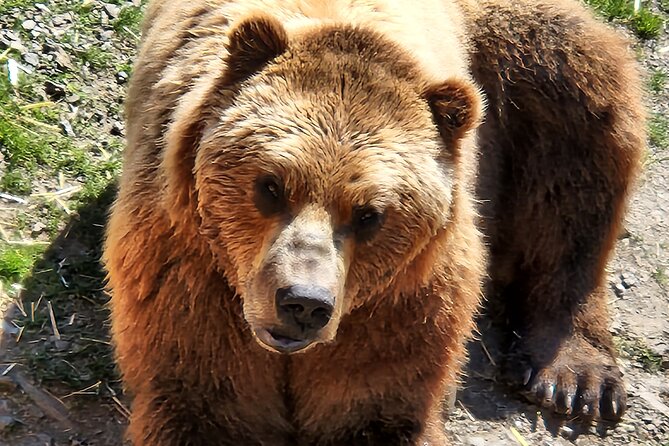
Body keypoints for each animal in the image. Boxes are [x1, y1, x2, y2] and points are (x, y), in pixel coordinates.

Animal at [103, 0, 645, 444]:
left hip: (510, 55)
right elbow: (204, 402)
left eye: (369, 215)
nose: (303, 303)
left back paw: (574, 377)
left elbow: (376, 409)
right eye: (271, 185)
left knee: (577, 122)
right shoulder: (192, 273)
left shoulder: (400, 304)